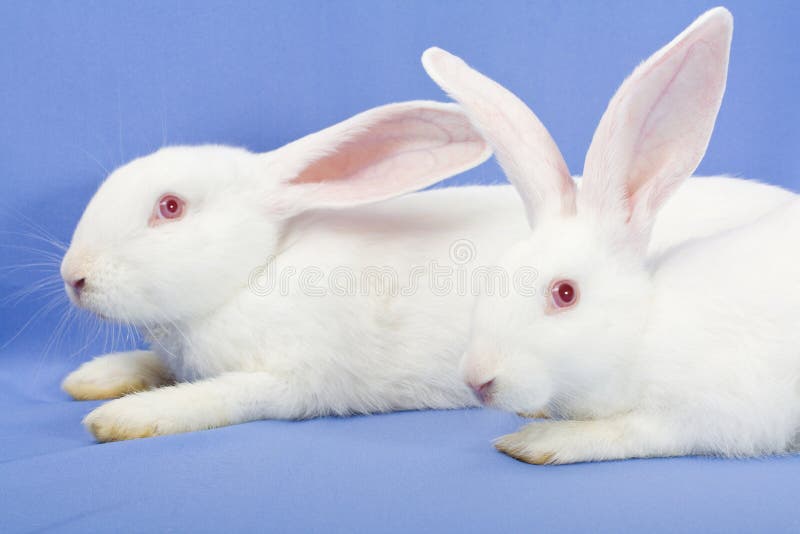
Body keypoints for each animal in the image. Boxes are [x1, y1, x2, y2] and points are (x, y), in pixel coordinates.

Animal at [423, 6, 800, 464]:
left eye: (565, 293)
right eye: (495, 275)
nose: (477, 378)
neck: (640, 333)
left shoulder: (698, 416)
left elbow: (625, 433)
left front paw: (535, 442)